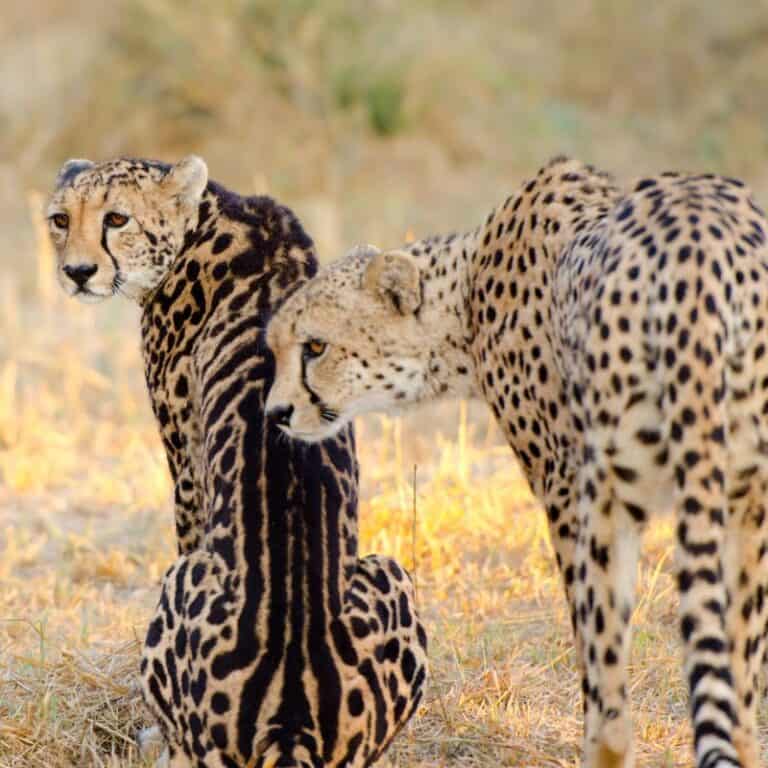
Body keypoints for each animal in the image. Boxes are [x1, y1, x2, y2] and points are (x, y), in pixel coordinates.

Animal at [47, 156, 428, 768]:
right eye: (60, 219)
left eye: (116, 219)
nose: (77, 272)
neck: (207, 218)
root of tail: (291, 724)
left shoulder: (186, 459)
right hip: (391, 571)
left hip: (182, 580)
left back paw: (157, 740)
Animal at [264, 155, 768, 768]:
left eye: (315, 347)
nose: (276, 412)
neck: (464, 293)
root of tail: (699, 255)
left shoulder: (561, 484)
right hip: (741, 490)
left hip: (610, 489)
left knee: (612, 686)